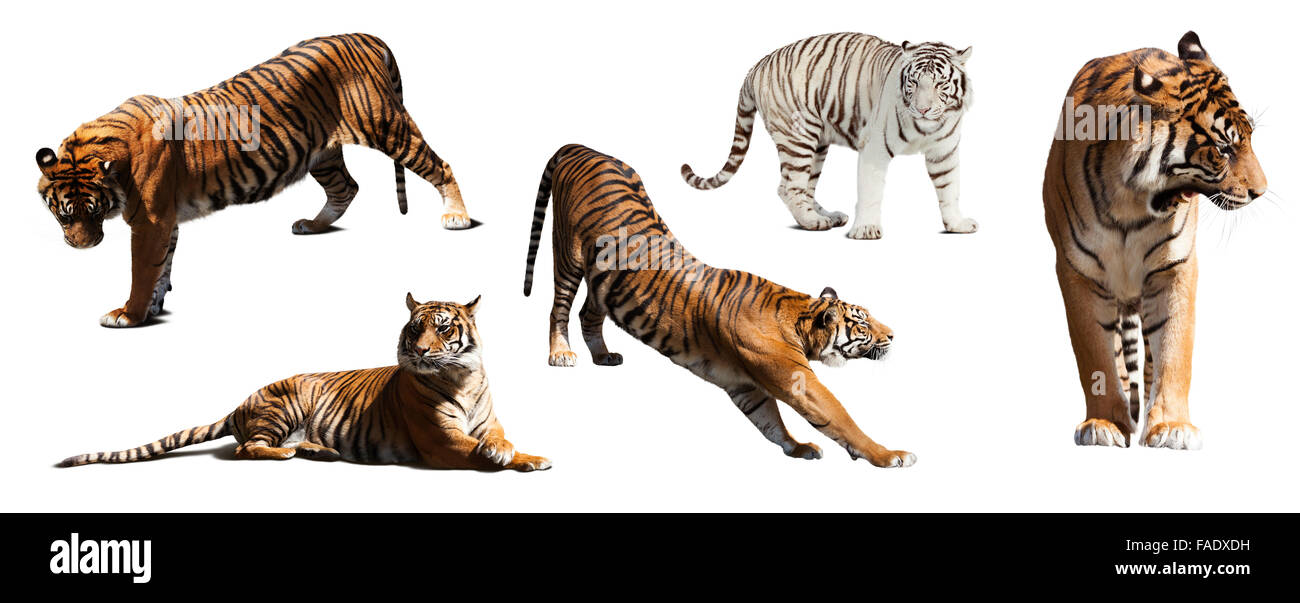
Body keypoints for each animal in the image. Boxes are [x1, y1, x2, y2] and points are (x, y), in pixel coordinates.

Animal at [35, 33, 471, 328]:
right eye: (63, 215)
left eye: (93, 210)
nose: (82, 246)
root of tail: (363, 34)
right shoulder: (166, 220)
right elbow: (164, 267)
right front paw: (155, 305)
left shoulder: (150, 221)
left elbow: (143, 269)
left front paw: (129, 313)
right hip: (322, 153)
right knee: (346, 187)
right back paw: (312, 225)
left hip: (385, 126)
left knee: (440, 165)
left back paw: (457, 217)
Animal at [59, 295, 551, 472]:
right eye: (415, 329)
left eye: (444, 328)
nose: (423, 351)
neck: (461, 377)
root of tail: (240, 402)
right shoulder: (439, 440)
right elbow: (479, 450)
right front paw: (520, 458)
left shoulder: (488, 422)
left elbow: (501, 439)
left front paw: (522, 453)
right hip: (284, 407)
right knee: (246, 448)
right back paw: (289, 453)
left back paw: (321, 451)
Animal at [524, 144, 914, 468]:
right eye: (862, 324)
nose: (894, 334)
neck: (799, 317)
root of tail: (583, 147)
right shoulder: (795, 379)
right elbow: (840, 418)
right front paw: (889, 455)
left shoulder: (745, 386)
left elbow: (770, 422)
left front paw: (797, 447)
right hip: (568, 254)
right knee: (558, 308)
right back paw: (561, 354)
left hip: (605, 282)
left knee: (587, 313)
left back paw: (603, 355)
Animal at [681, 32, 975, 240]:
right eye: (913, 82)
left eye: (940, 83)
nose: (922, 109)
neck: (928, 126)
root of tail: (755, 67)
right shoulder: (875, 149)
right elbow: (870, 191)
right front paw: (866, 230)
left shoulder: (945, 152)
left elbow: (950, 188)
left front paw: (956, 224)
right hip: (798, 136)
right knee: (789, 187)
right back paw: (813, 222)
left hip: (817, 144)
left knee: (801, 187)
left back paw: (827, 216)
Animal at [1043, 32, 1267, 450]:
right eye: (1224, 148)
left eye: (1249, 138)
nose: (1261, 192)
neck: (1134, 199)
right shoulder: (1077, 271)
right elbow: (1094, 354)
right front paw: (1104, 423)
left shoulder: (1175, 269)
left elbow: (1175, 350)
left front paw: (1171, 426)